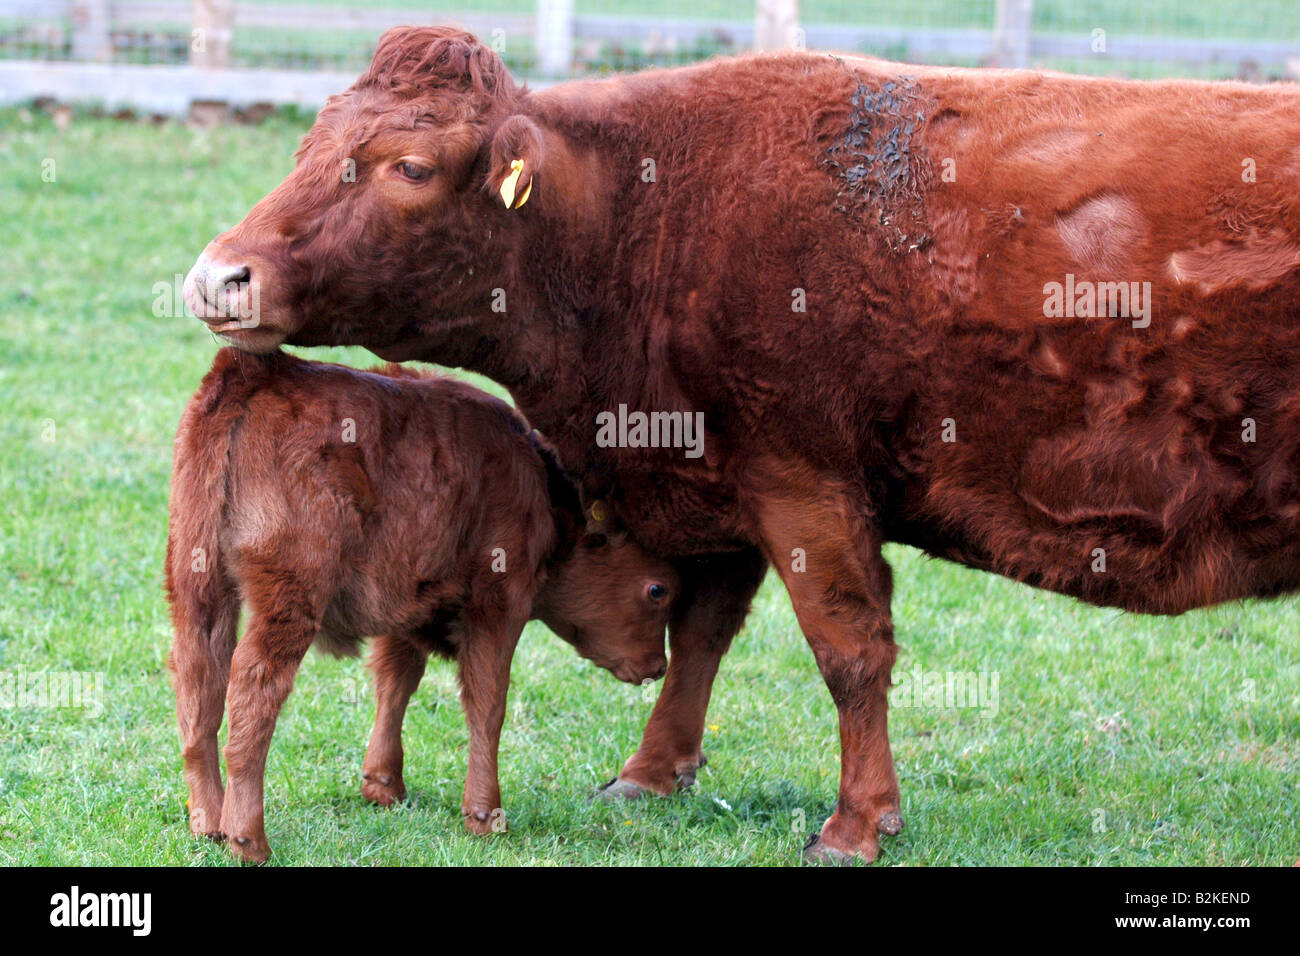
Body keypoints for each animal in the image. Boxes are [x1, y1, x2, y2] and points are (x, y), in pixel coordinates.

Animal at [165, 347, 676, 863]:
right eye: (658, 589)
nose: (657, 666)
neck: (541, 490)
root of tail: (257, 370)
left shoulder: (404, 603)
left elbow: (397, 681)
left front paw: (384, 786)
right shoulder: (499, 604)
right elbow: (488, 702)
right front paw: (485, 815)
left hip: (198, 588)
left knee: (199, 687)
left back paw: (207, 823)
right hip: (288, 599)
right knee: (254, 687)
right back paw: (248, 838)